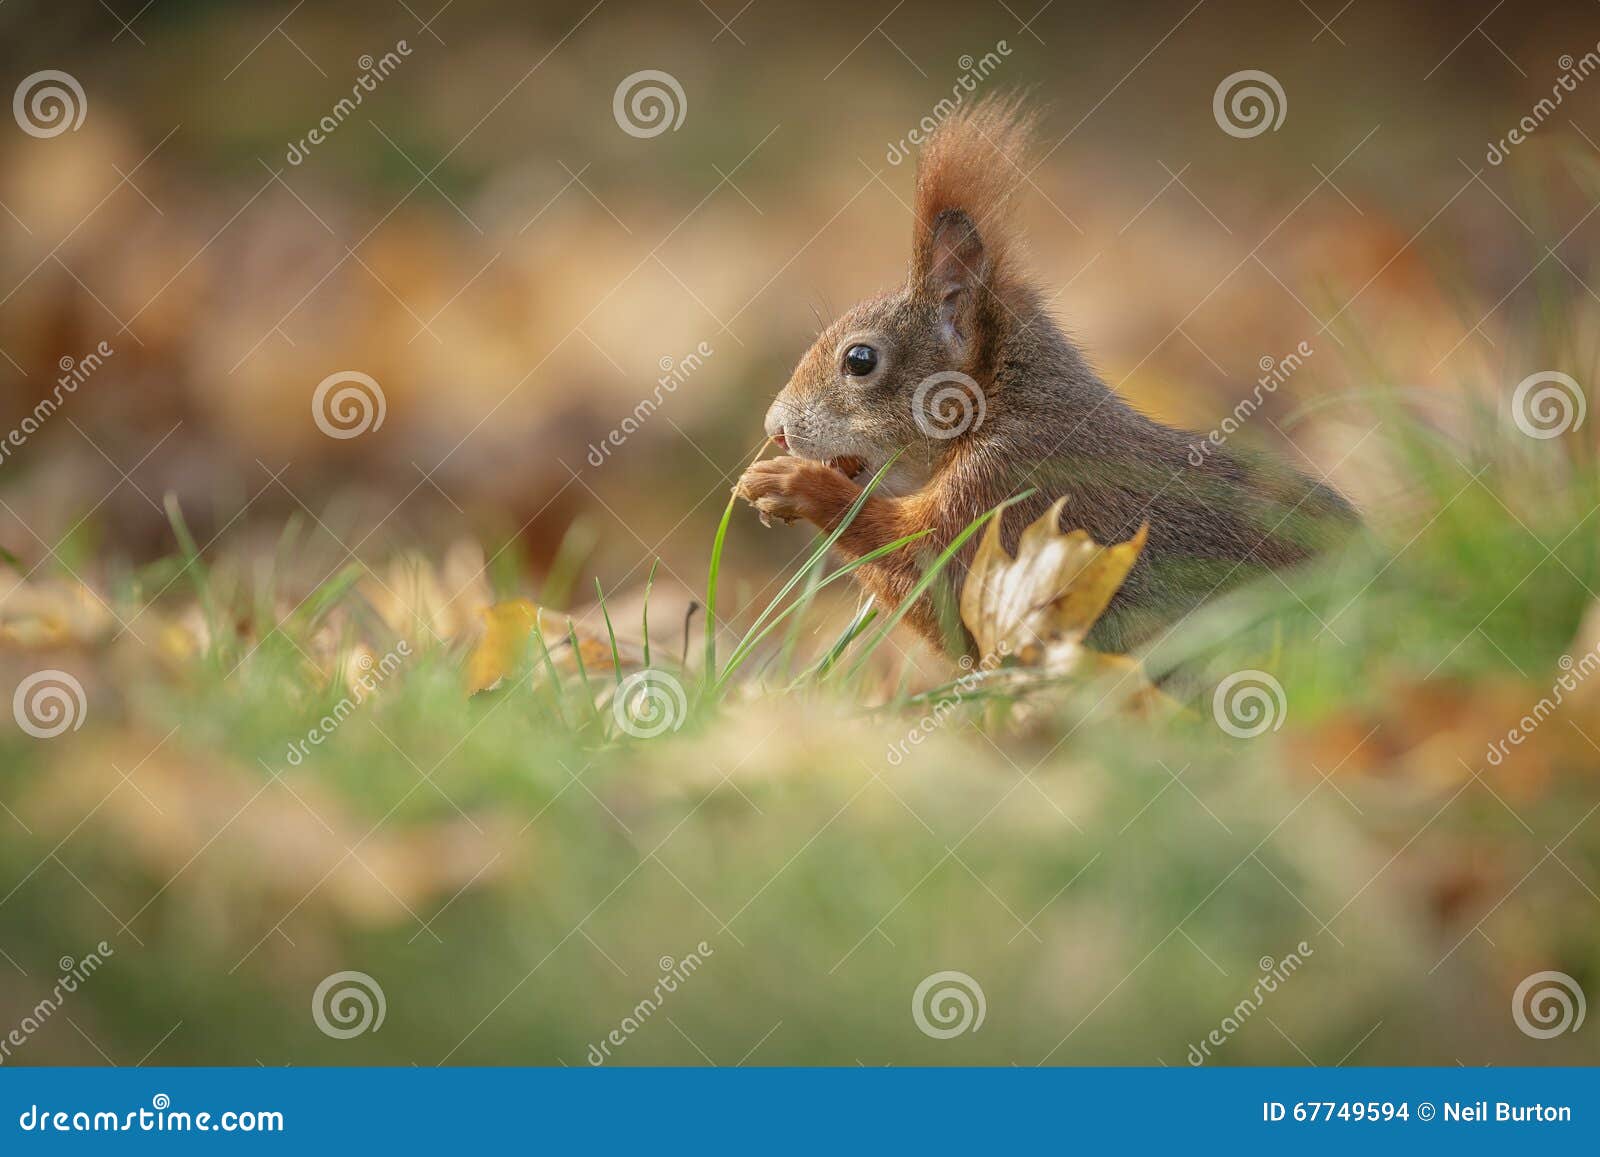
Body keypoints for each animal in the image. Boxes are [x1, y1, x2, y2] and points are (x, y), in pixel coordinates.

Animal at [735, 96, 1358, 657]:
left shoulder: (1011, 490)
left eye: (860, 360)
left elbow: (932, 572)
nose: (775, 430)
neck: (1002, 405)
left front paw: (792, 484)